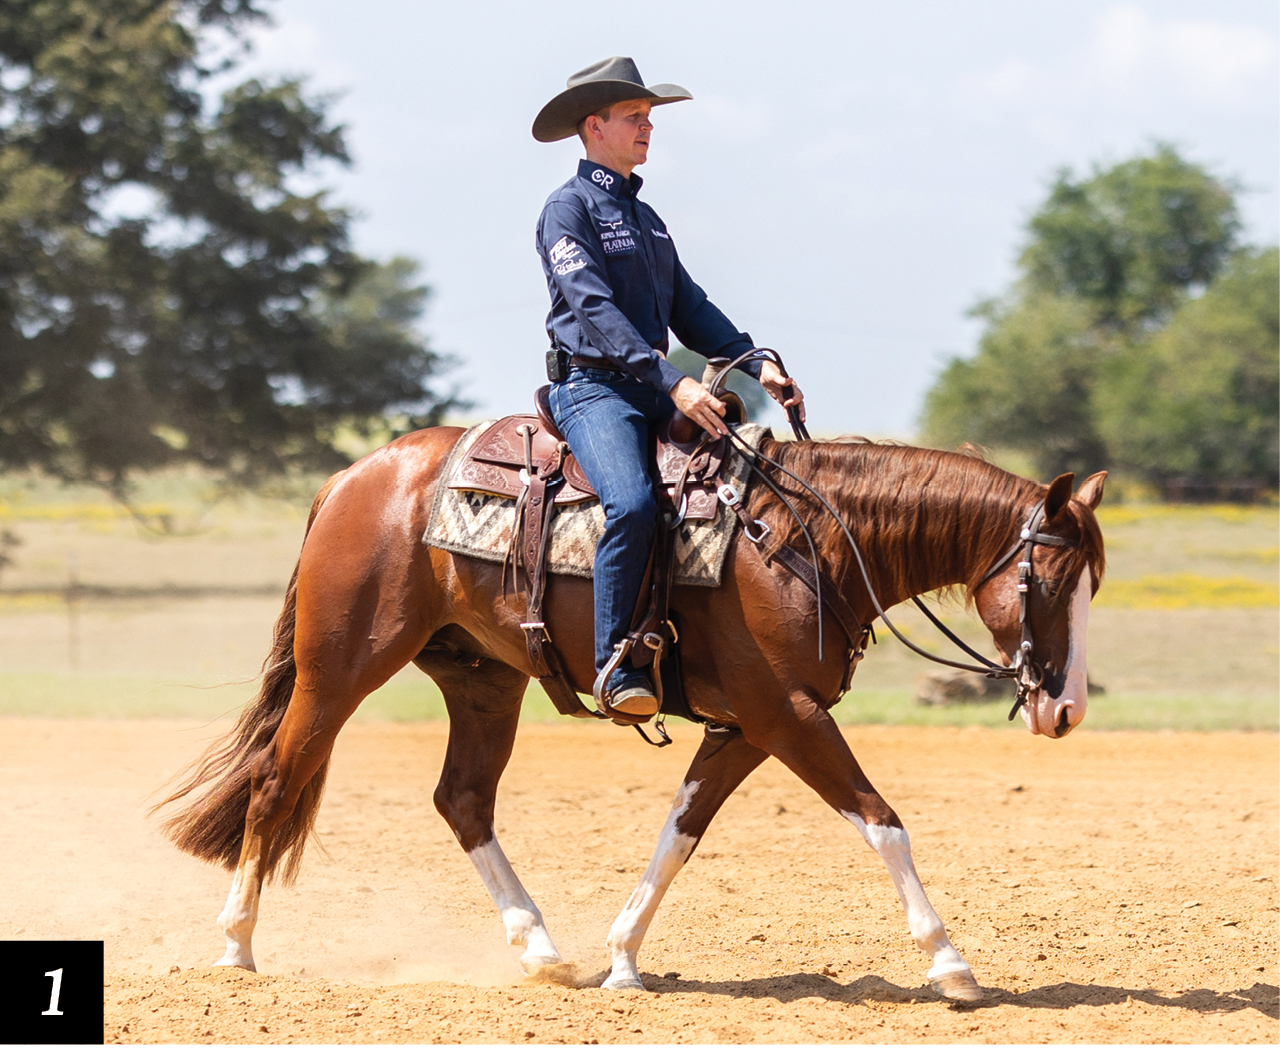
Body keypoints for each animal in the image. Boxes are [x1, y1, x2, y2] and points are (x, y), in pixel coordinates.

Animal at [155, 427, 1106, 1003]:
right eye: (1053, 578)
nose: (1066, 709)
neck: (804, 542)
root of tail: (355, 476)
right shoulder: (788, 716)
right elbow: (881, 821)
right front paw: (951, 962)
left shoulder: (744, 728)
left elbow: (679, 834)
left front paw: (621, 958)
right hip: (340, 668)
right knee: (275, 779)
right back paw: (235, 948)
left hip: (482, 681)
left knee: (462, 800)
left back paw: (541, 950)